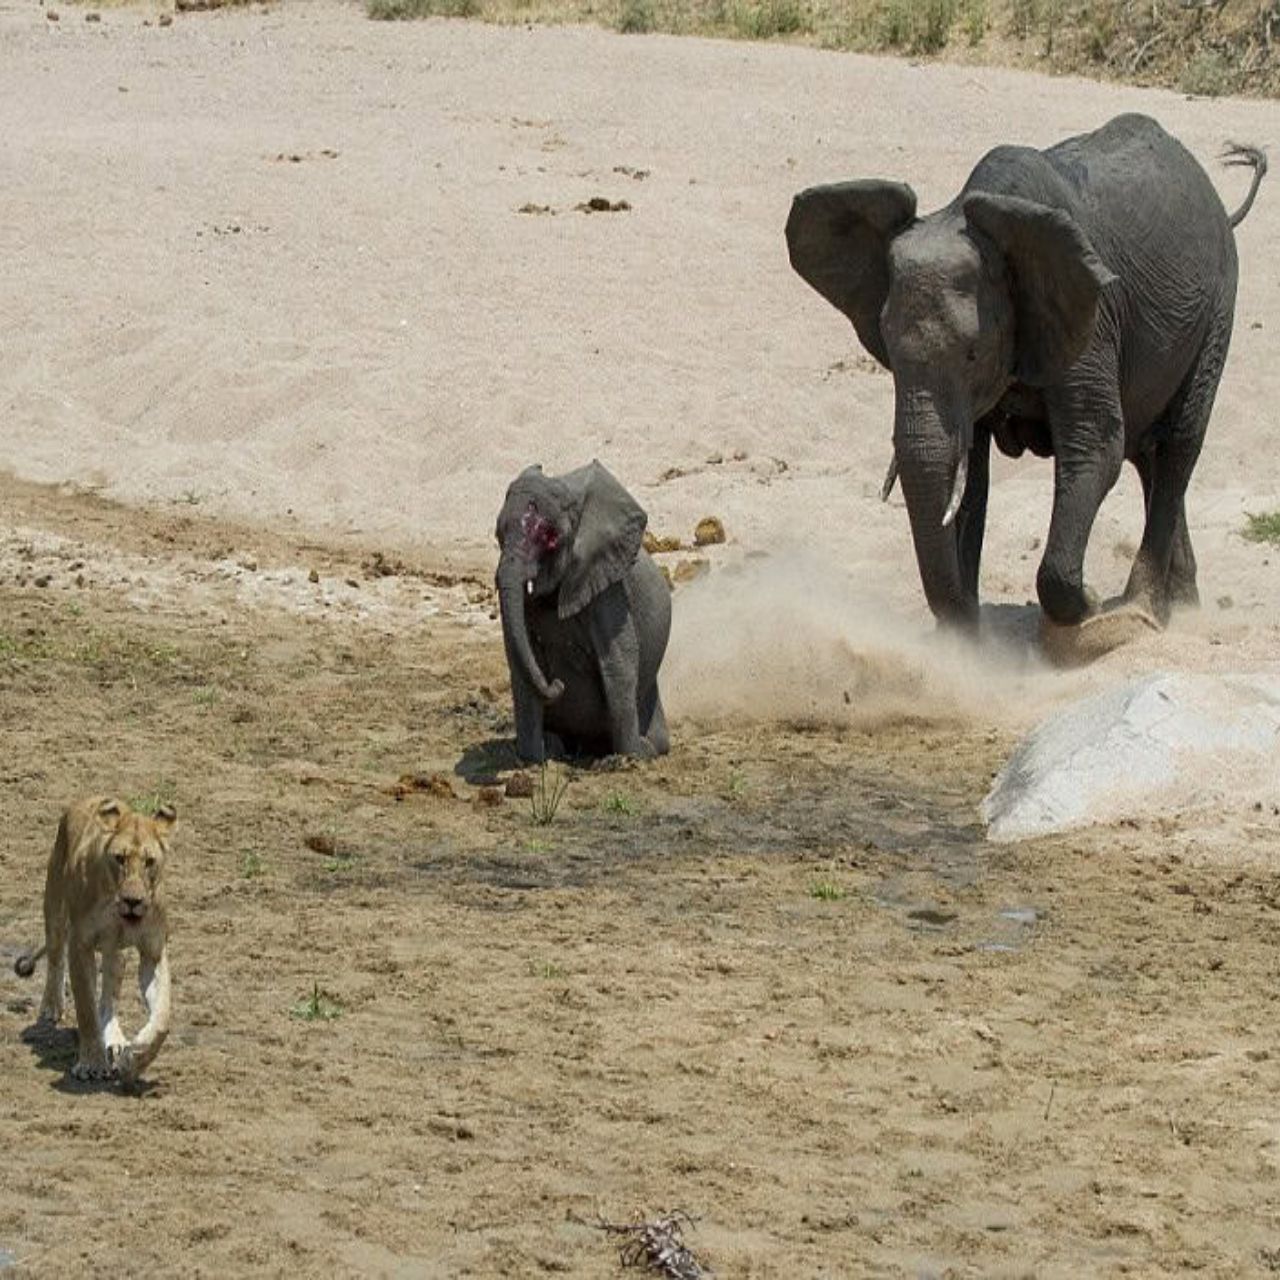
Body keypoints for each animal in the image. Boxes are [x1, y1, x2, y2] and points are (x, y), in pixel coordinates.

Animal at [14, 797, 177, 1083]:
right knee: (55, 959)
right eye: (119, 858)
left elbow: (161, 1019)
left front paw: (135, 1059)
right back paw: (51, 1007)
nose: (133, 901)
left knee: (110, 994)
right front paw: (92, 1064)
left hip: (117, 954)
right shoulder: (80, 946)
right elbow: (86, 1008)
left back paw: (114, 1038)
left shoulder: (153, 952)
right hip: (55, 911)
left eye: (149, 861)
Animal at [495, 460, 671, 763]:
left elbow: (619, 662)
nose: (557, 684)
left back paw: (643, 749)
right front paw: (532, 759)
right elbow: (520, 665)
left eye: (550, 538)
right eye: (499, 535)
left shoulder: (609, 590)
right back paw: (555, 746)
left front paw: (627, 760)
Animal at [786, 113, 1267, 631]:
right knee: (1146, 451)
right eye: (889, 354)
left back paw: (1140, 609)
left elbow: (1096, 443)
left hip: (1219, 305)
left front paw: (1089, 607)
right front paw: (965, 634)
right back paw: (1180, 604)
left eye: (973, 354)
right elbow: (970, 476)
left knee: (1179, 442)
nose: (966, 614)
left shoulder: (1089, 318)